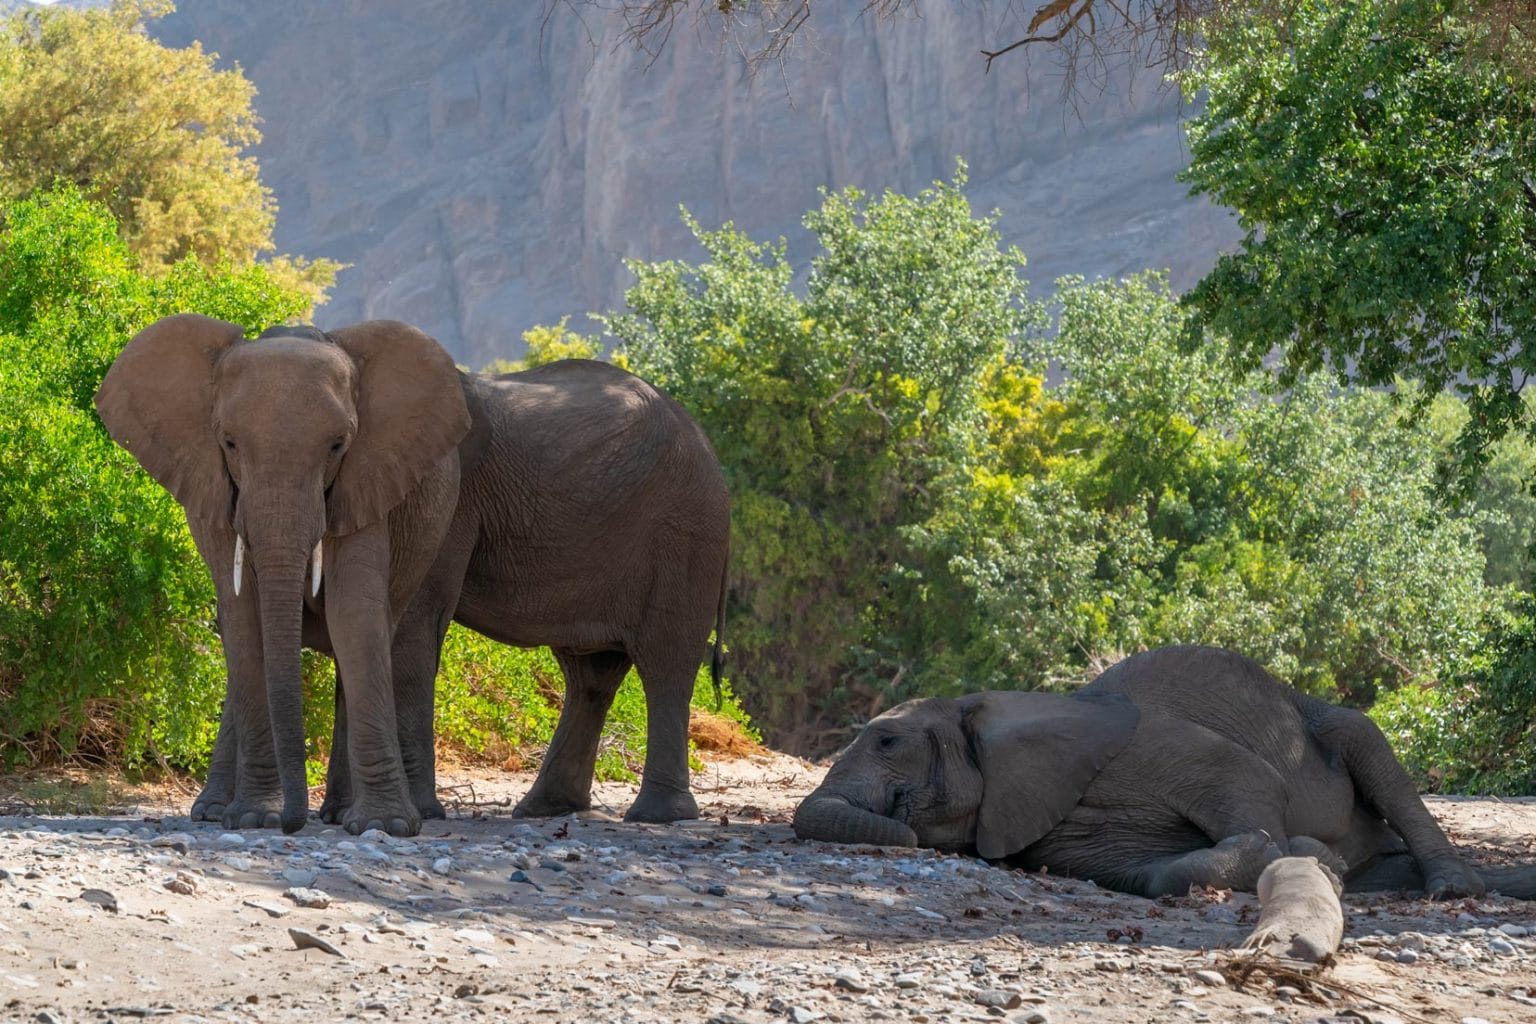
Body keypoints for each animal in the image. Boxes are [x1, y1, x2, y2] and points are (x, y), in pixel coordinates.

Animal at [95, 314, 730, 837]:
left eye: (338, 445)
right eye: (228, 442)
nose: (291, 822)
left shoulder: (424, 492)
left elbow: (373, 616)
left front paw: (400, 821)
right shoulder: (213, 485)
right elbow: (241, 618)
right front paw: (236, 816)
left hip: (688, 528)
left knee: (666, 661)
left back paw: (656, 816)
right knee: (591, 673)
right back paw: (541, 810)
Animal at [794, 645, 1536, 899]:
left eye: (887, 739)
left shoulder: (1142, 743)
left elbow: (1242, 774)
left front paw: (1304, 857)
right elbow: (1146, 874)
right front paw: (1312, 860)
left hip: (1338, 729)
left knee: (1366, 742)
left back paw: (1451, 890)